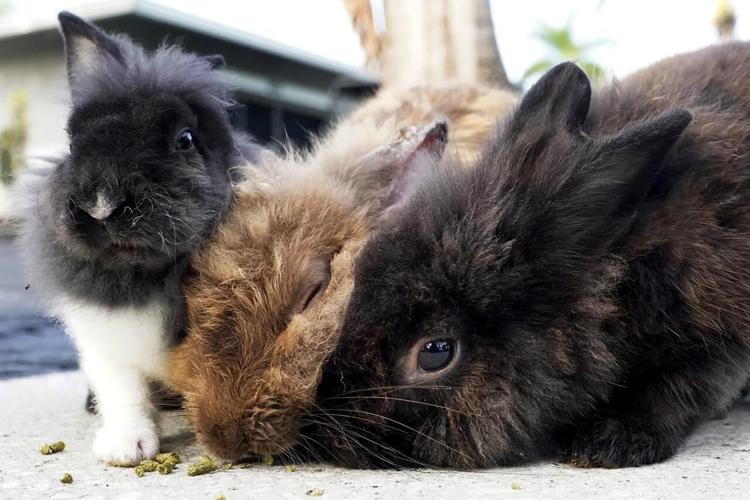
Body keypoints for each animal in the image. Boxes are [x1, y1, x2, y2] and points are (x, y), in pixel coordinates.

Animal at [16, 12, 257, 465]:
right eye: (73, 143)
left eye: (185, 140)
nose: (101, 206)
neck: (148, 277)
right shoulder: (105, 346)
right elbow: (124, 393)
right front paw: (126, 448)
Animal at [308, 42, 750, 469]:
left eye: (435, 352)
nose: (327, 429)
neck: (618, 276)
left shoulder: (719, 343)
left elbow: (677, 391)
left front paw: (610, 444)